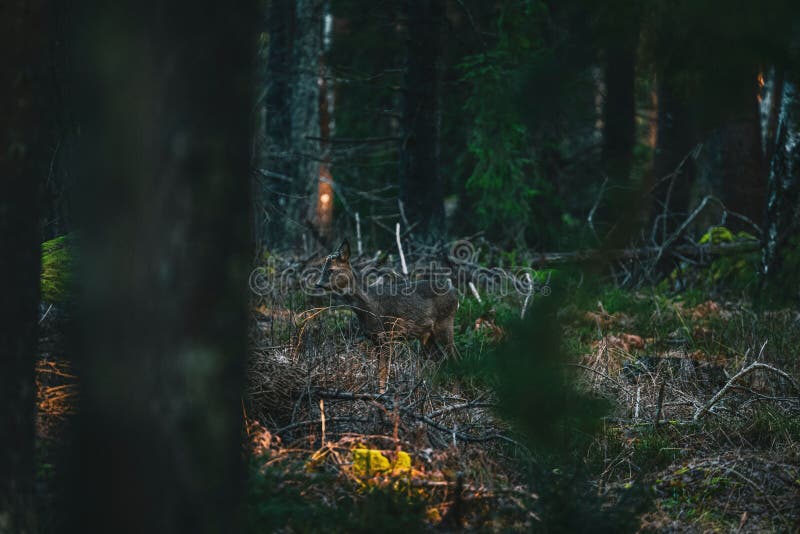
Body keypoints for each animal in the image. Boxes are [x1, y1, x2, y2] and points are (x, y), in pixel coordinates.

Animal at [316, 240, 459, 362]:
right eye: (323, 269)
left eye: (331, 270)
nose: (318, 284)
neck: (368, 306)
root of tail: (455, 293)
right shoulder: (373, 337)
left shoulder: (386, 334)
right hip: (427, 335)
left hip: (445, 322)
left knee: (454, 355)